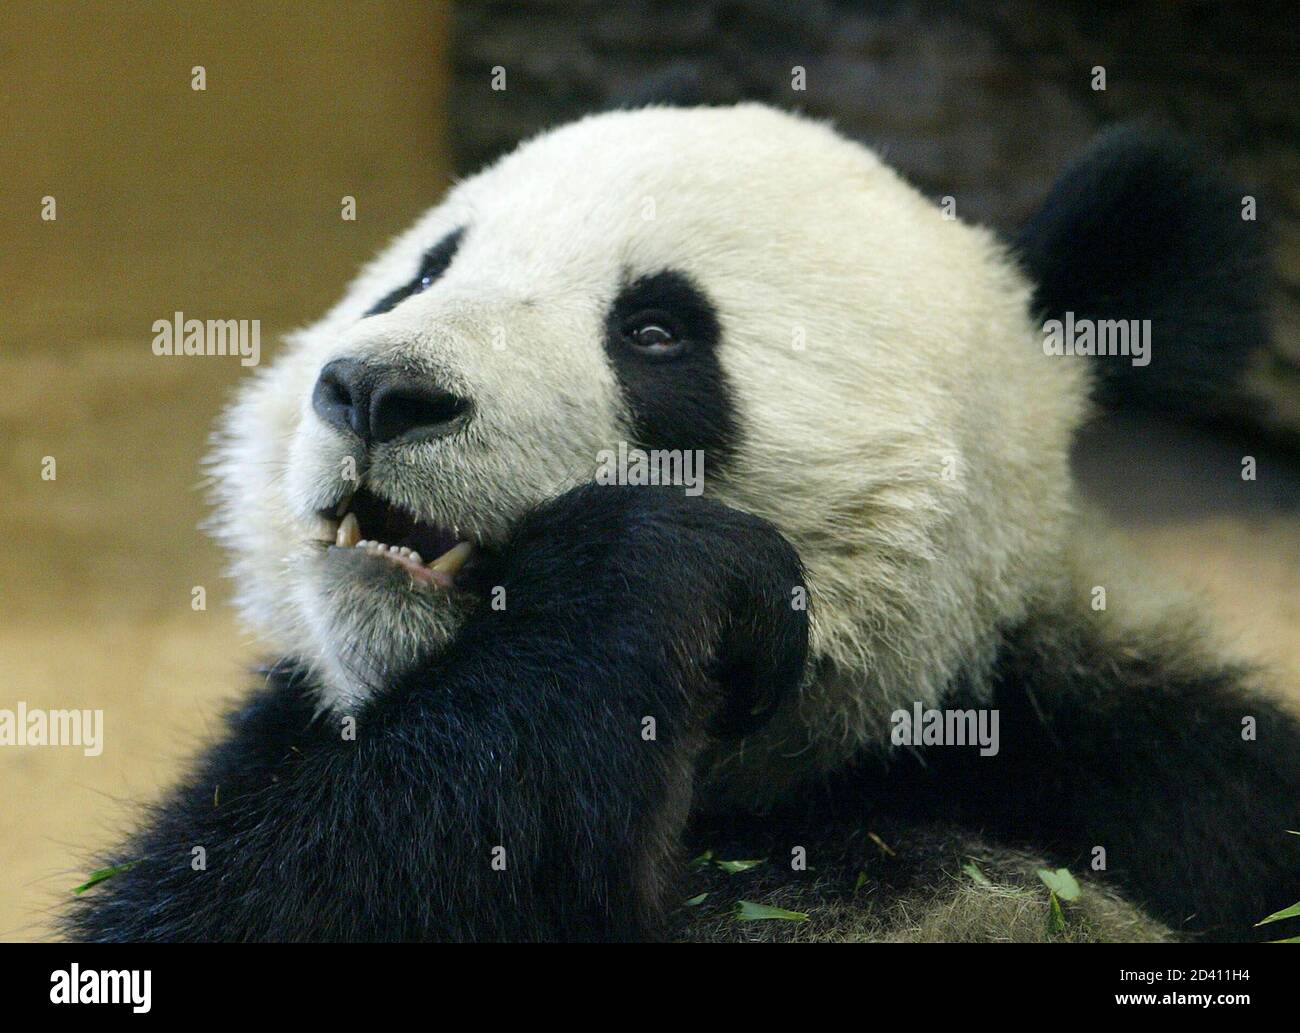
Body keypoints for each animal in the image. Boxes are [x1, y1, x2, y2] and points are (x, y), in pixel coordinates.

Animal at [68, 104, 1299, 942]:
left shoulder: (1158, 772)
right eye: (419, 276)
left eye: (657, 330)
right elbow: (266, 893)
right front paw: (654, 571)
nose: (376, 393)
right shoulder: (281, 750)